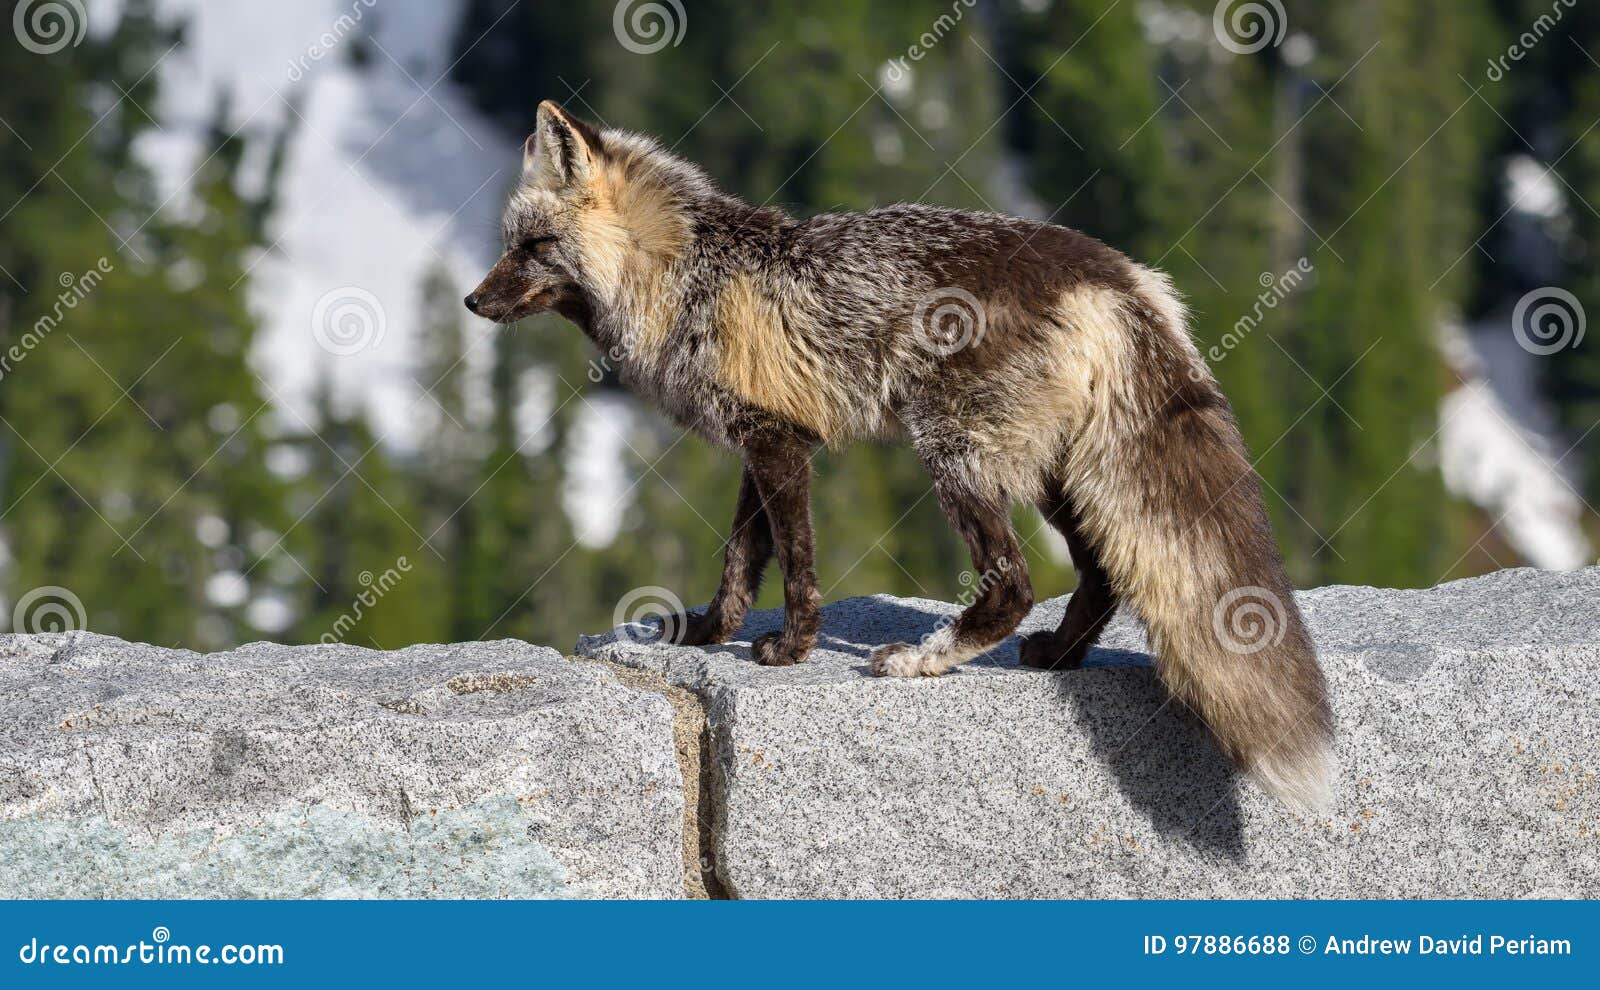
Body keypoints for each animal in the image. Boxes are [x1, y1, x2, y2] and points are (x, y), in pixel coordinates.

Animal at [465, 101, 1335, 811]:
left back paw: (924, 661)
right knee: (1101, 578)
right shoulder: (761, 443)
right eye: (510, 244)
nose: (473, 301)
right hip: (1057, 475)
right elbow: (740, 563)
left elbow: (797, 566)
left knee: (1015, 583)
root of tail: (1115, 272)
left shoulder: (781, 444)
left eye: (535, 246)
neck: (683, 278)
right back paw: (1057, 654)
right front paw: (713, 633)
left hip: (954, 456)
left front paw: (792, 649)